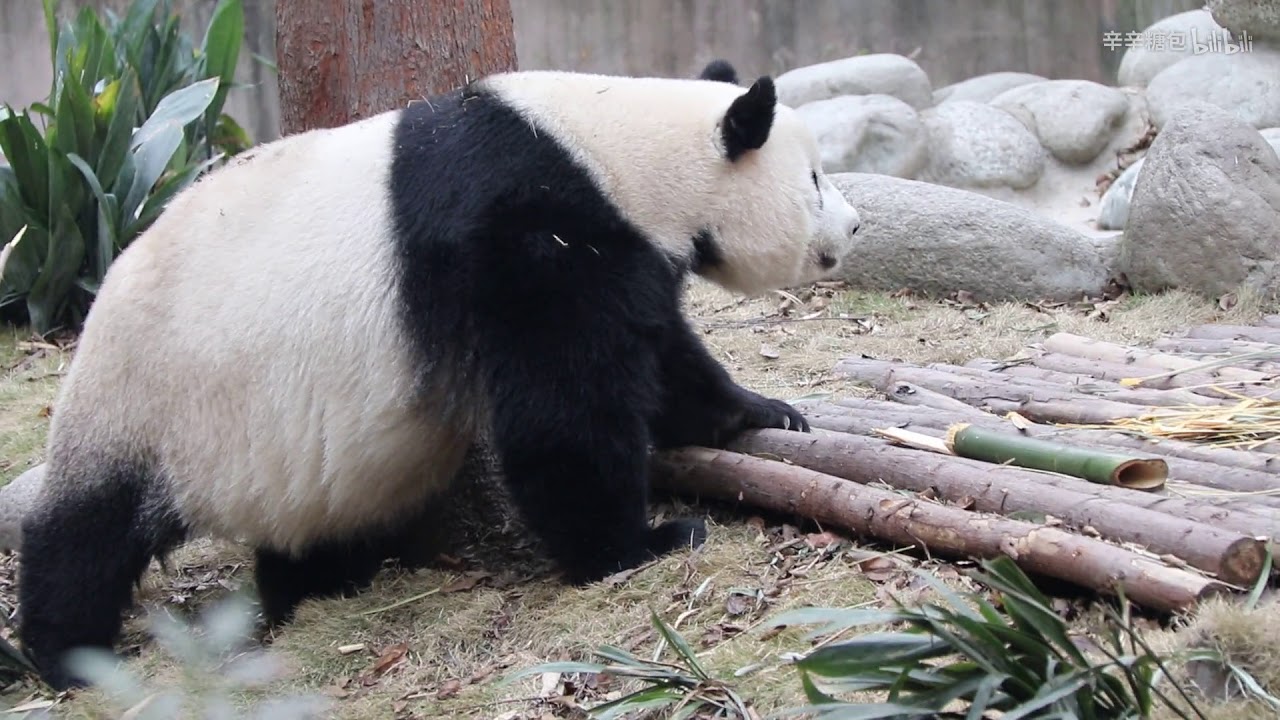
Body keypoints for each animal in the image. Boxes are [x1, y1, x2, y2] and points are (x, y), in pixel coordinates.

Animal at [16, 60, 861, 689]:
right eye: (816, 179)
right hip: (145, 397)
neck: (614, 149)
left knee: (310, 521)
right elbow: (565, 411)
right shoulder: (527, 231)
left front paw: (761, 411)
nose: (854, 227)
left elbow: (664, 353)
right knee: (87, 532)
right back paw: (67, 654)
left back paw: (315, 590)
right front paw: (641, 543)